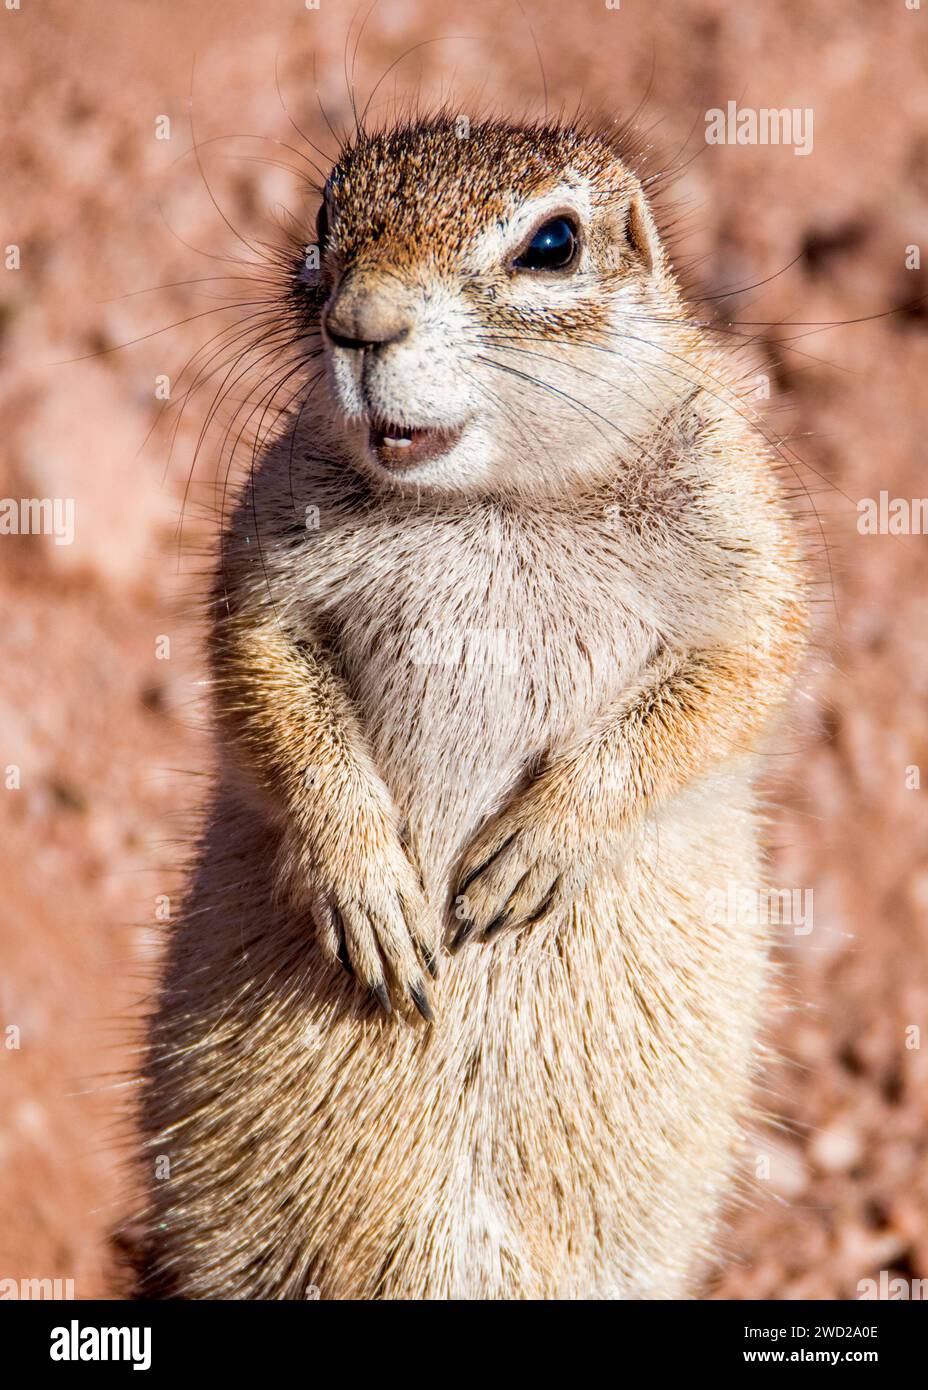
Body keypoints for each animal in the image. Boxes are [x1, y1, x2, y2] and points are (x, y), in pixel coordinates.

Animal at [137, 114, 807, 1299]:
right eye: (325, 216)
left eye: (552, 244)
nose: (357, 323)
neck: (489, 502)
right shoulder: (264, 556)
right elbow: (261, 678)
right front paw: (370, 894)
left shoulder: (739, 531)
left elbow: (732, 683)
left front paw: (533, 849)